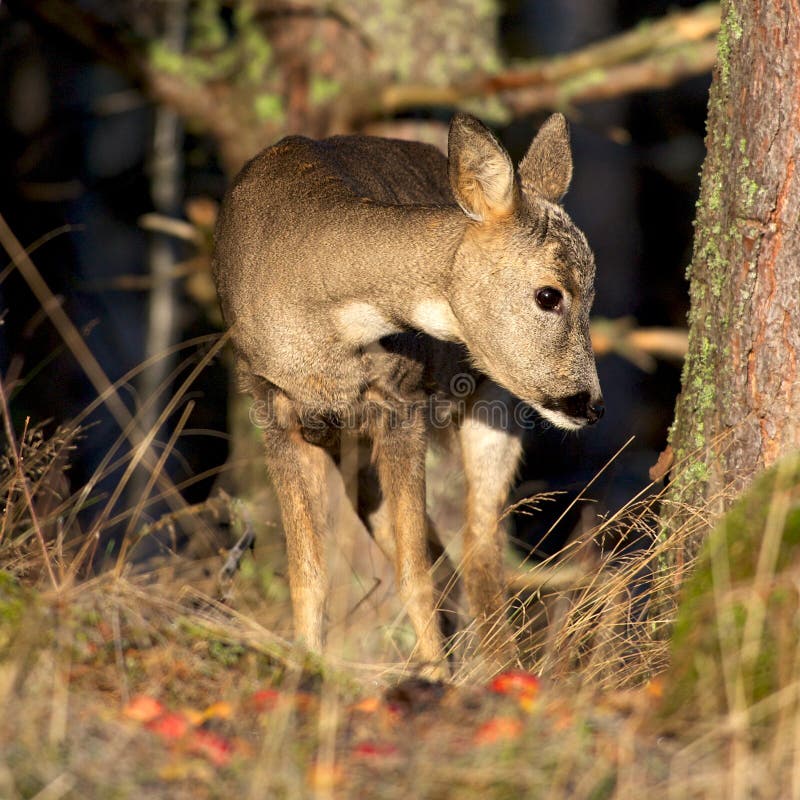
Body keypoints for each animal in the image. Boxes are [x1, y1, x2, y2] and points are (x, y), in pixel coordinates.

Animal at [212, 112, 603, 674]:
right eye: (549, 294)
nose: (589, 402)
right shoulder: (273, 408)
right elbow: (308, 578)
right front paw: (304, 670)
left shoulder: (404, 402)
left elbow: (415, 576)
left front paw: (435, 676)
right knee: (453, 557)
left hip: (495, 403)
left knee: (478, 550)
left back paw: (501, 672)